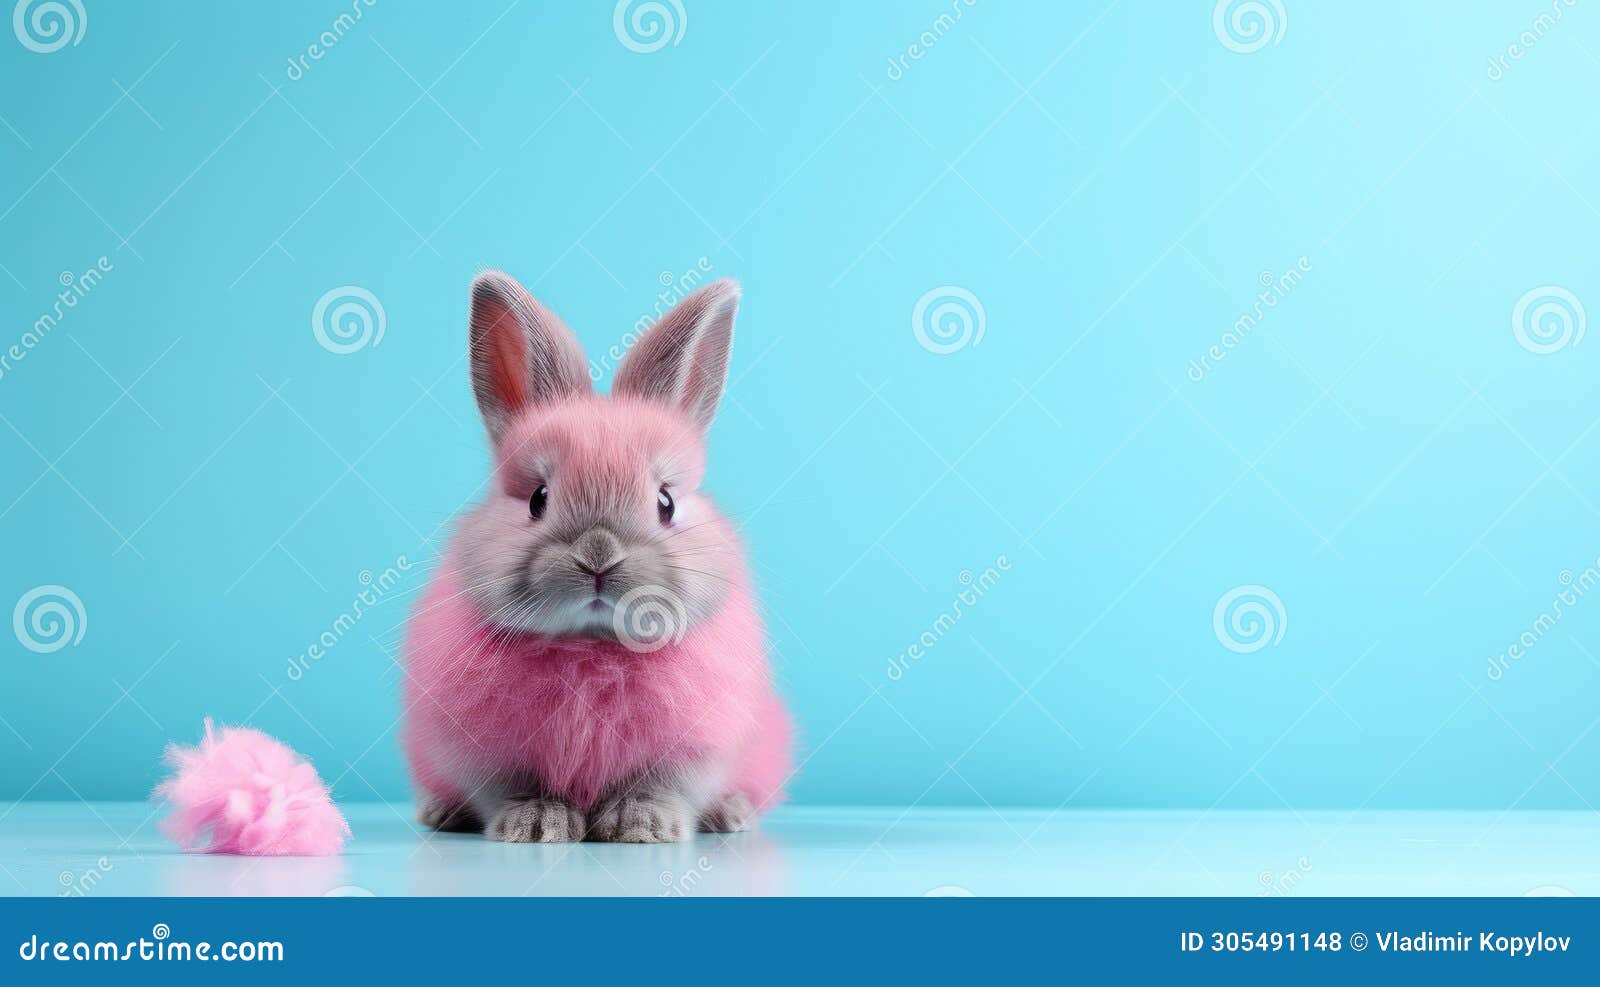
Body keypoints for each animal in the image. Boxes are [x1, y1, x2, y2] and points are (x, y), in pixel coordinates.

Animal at [401, 270, 792, 843]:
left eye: (665, 502)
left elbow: (658, 785)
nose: (598, 556)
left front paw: (643, 825)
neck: (592, 645)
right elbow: (518, 787)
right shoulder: (485, 753)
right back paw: (442, 813)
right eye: (538, 498)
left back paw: (730, 815)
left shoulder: (692, 750)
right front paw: (535, 825)